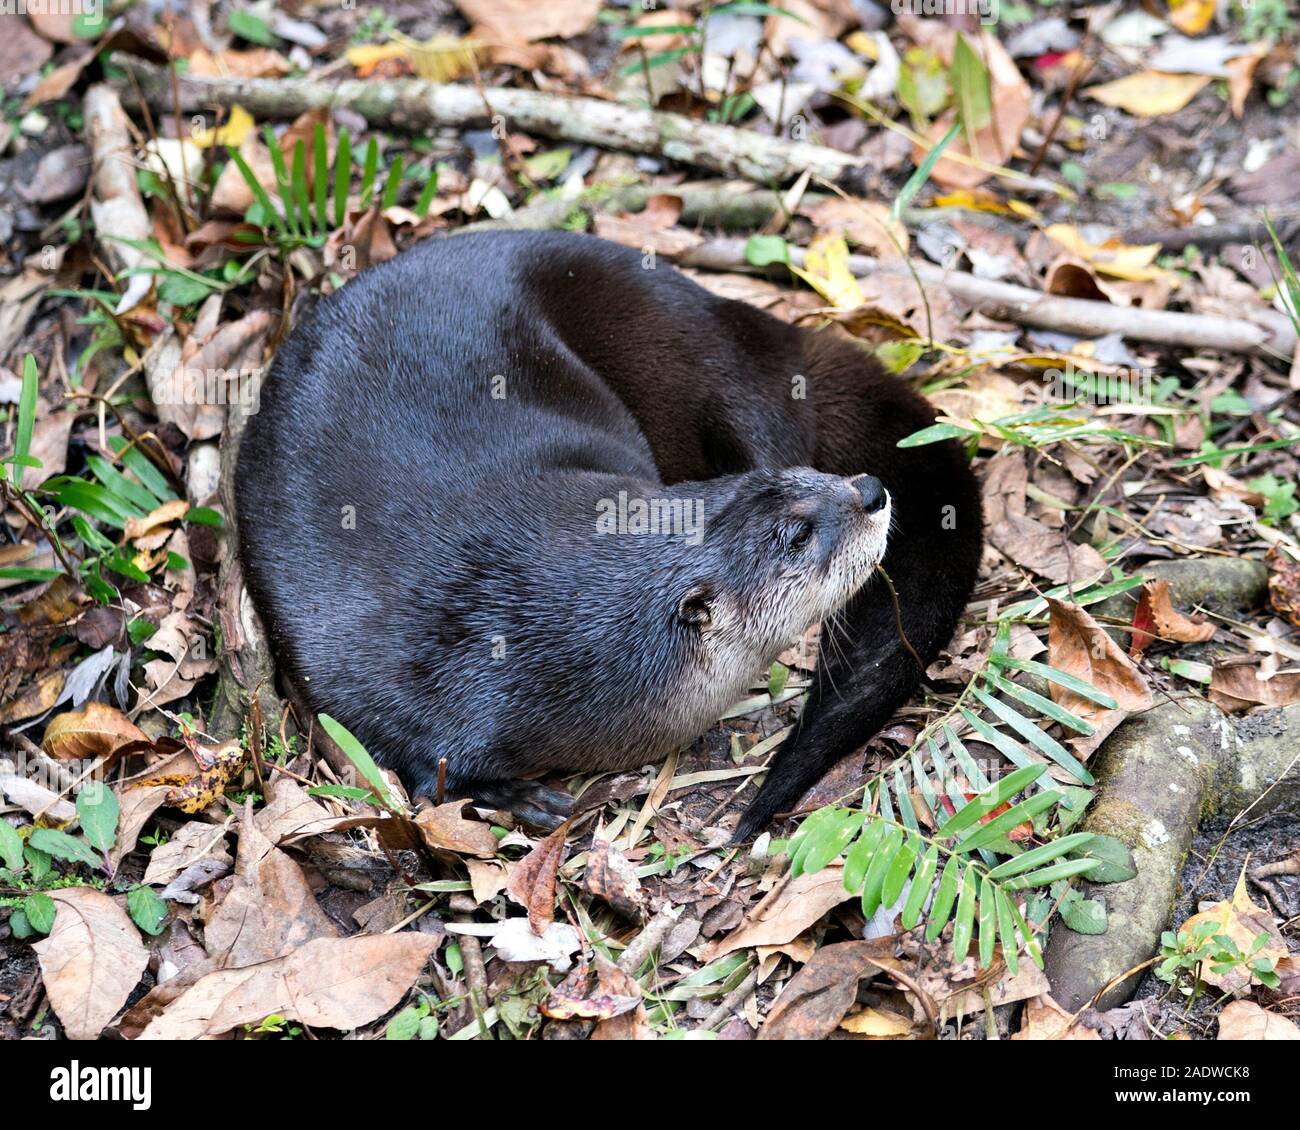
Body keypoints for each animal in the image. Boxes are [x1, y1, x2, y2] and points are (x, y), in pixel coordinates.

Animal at [236, 230, 981, 841]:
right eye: (798, 534)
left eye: (810, 480)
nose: (869, 490)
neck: (532, 643)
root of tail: (753, 323)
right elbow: (418, 760)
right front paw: (519, 797)